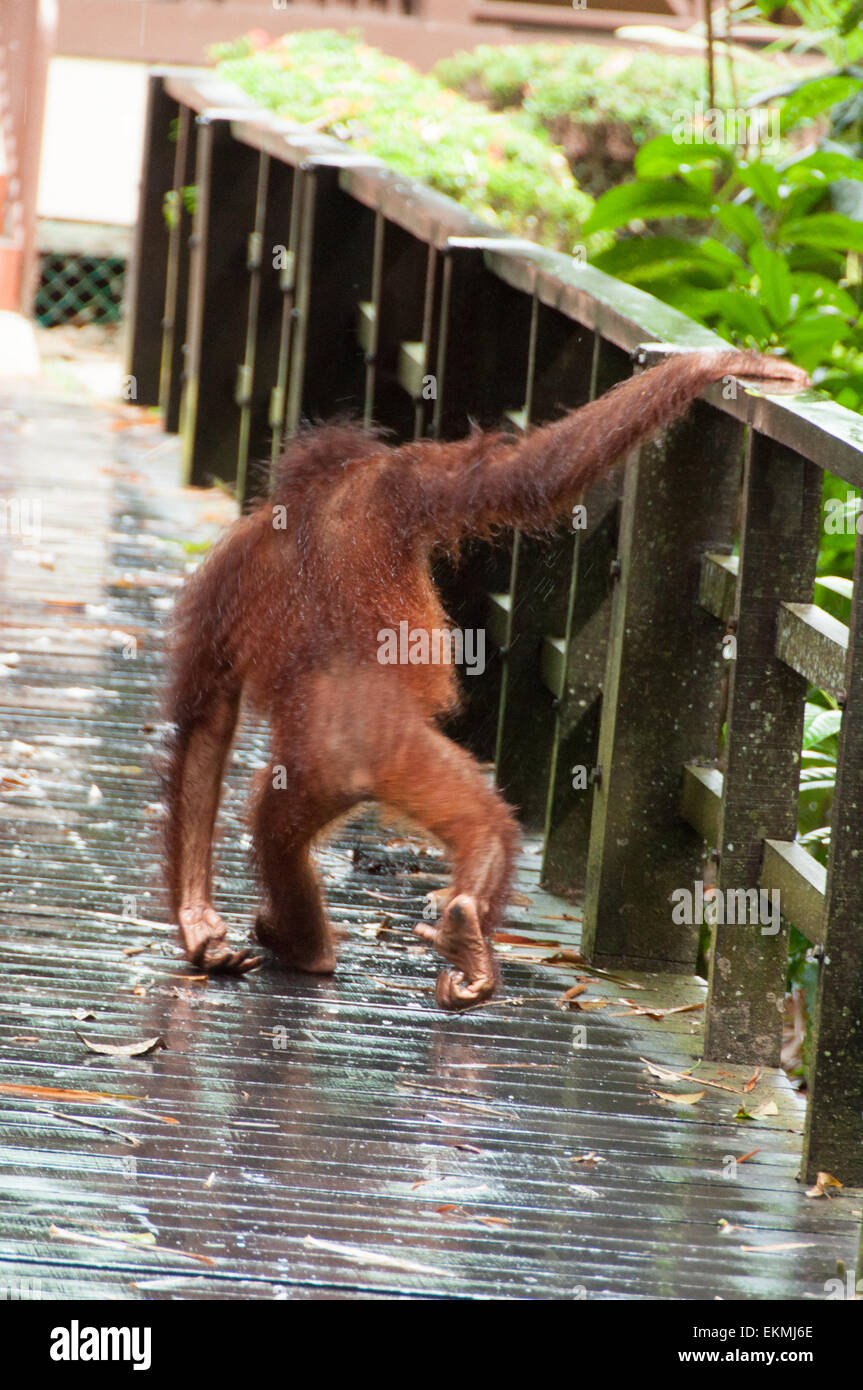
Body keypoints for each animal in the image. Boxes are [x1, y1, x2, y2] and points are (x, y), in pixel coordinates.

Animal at [162, 348, 809, 1009]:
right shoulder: (409, 477)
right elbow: (528, 477)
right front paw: (719, 364)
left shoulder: (229, 564)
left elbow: (207, 716)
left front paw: (197, 923)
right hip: (395, 755)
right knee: (485, 824)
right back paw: (393, 941)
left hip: (317, 775)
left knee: (281, 836)